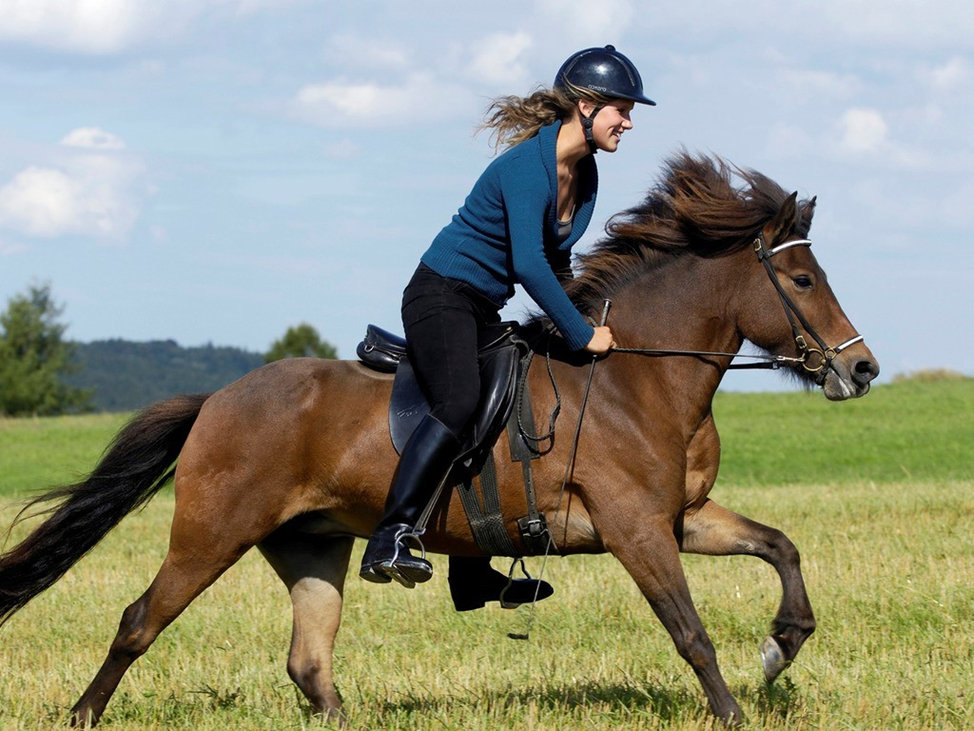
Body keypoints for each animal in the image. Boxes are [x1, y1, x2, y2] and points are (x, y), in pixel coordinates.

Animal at [0, 154, 884, 728]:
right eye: (802, 280)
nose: (863, 368)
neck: (638, 378)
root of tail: (219, 397)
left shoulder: (682, 516)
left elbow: (781, 546)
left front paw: (780, 647)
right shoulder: (636, 530)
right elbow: (690, 628)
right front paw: (734, 707)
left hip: (311, 543)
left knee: (308, 660)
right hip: (211, 532)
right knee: (139, 619)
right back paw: (81, 714)